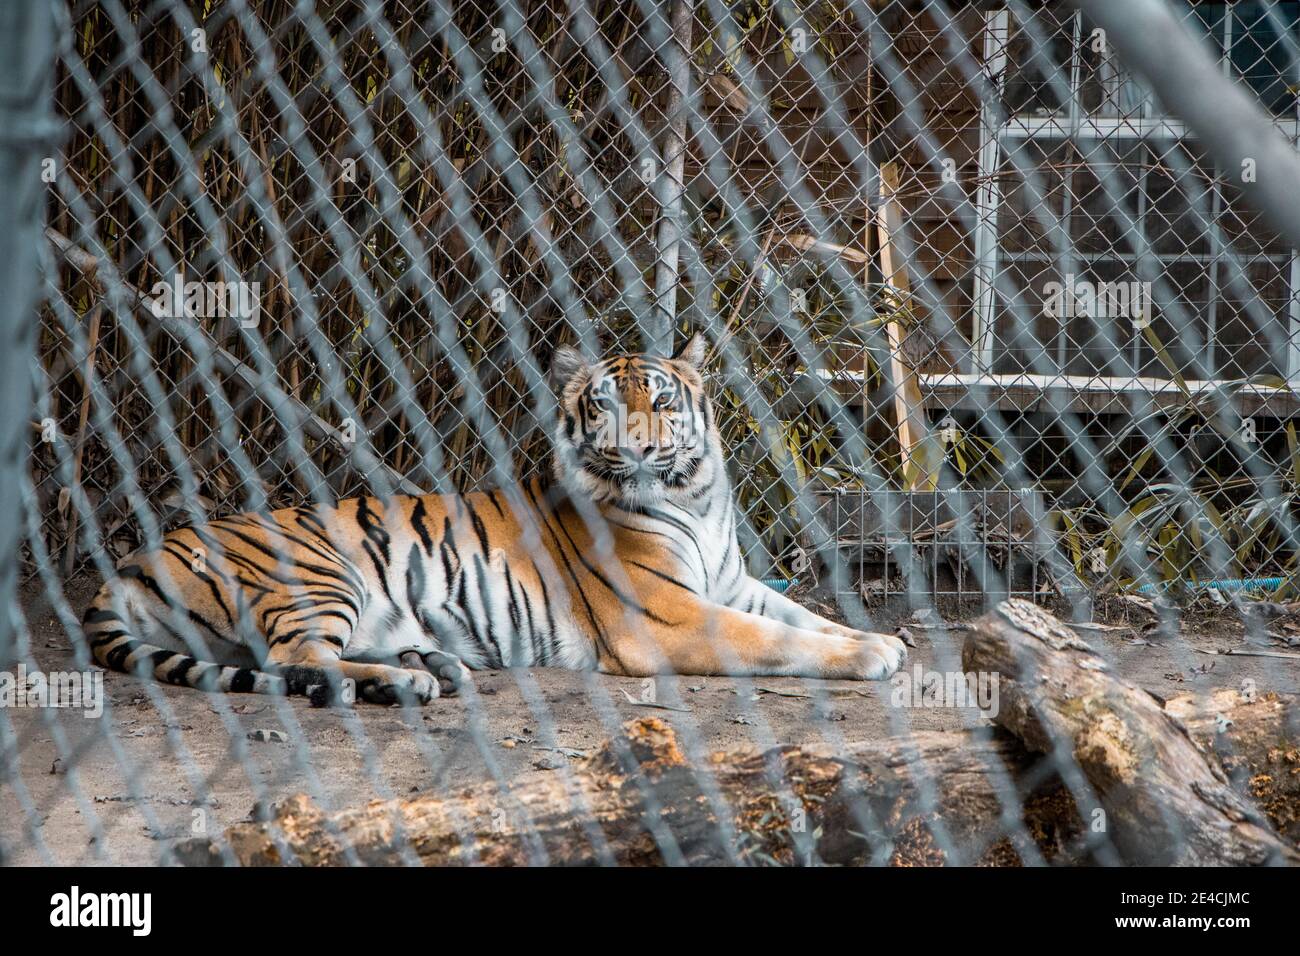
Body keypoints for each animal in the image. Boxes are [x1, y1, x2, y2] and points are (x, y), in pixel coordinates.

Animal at [81, 333, 907, 706]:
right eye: (604, 405)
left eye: (663, 401)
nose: (636, 447)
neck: (694, 499)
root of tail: (131, 562)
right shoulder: (666, 615)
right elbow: (774, 639)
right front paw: (874, 655)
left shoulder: (732, 585)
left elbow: (805, 617)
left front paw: (881, 638)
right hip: (319, 573)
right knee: (294, 662)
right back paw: (407, 682)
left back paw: (431, 666)